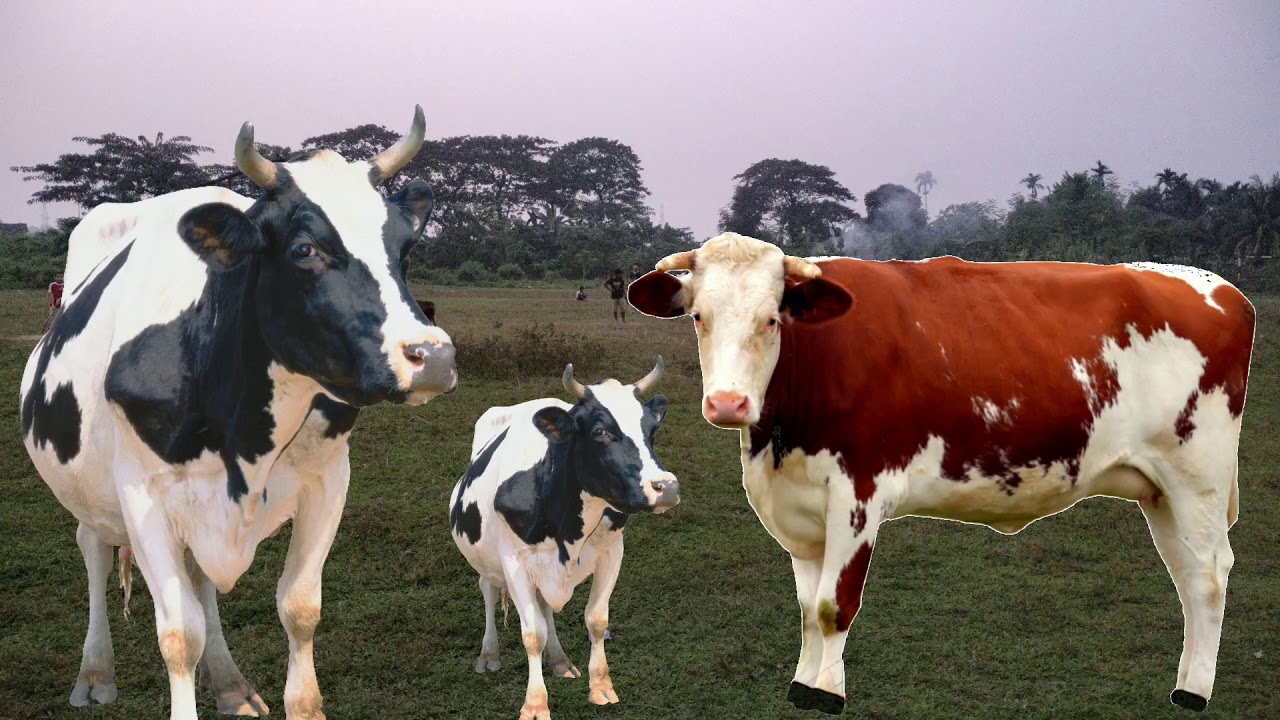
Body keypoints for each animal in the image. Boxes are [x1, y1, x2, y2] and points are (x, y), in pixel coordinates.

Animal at [19, 106, 456, 720]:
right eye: (305, 249)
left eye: (404, 248)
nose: (432, 357)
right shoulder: (142, 493)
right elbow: (179, 635)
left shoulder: (328, 478)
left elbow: (299, 607)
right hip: (88, 487)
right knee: (94, 551)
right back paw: (95, 672)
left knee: (198, 575)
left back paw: (228, 682)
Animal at [449, 358, 679, 720]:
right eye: (600, 431)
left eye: (651, 431)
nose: (666, 488)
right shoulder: (514, 561)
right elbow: (532, 634)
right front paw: (535, 704)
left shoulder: (612, 551)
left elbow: (596, 620)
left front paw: (601, 686)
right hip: (486, 559)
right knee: (488, 590)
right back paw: (489, 655)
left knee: (545, 605)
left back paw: (559, 660)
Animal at [628, 232, 1254, 714]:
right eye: (699, 317)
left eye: (770, 319)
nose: (728, 403)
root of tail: (1215, 284)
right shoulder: (799, 506)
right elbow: (807, 609)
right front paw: (803, 686)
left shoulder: (858, 494)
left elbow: (833, 607)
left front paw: (828, 694)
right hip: (1160, 491)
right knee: (1186, 578)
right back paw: (1185, 681)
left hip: (1197, 477)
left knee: (1208, 577)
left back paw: (1195, 693)